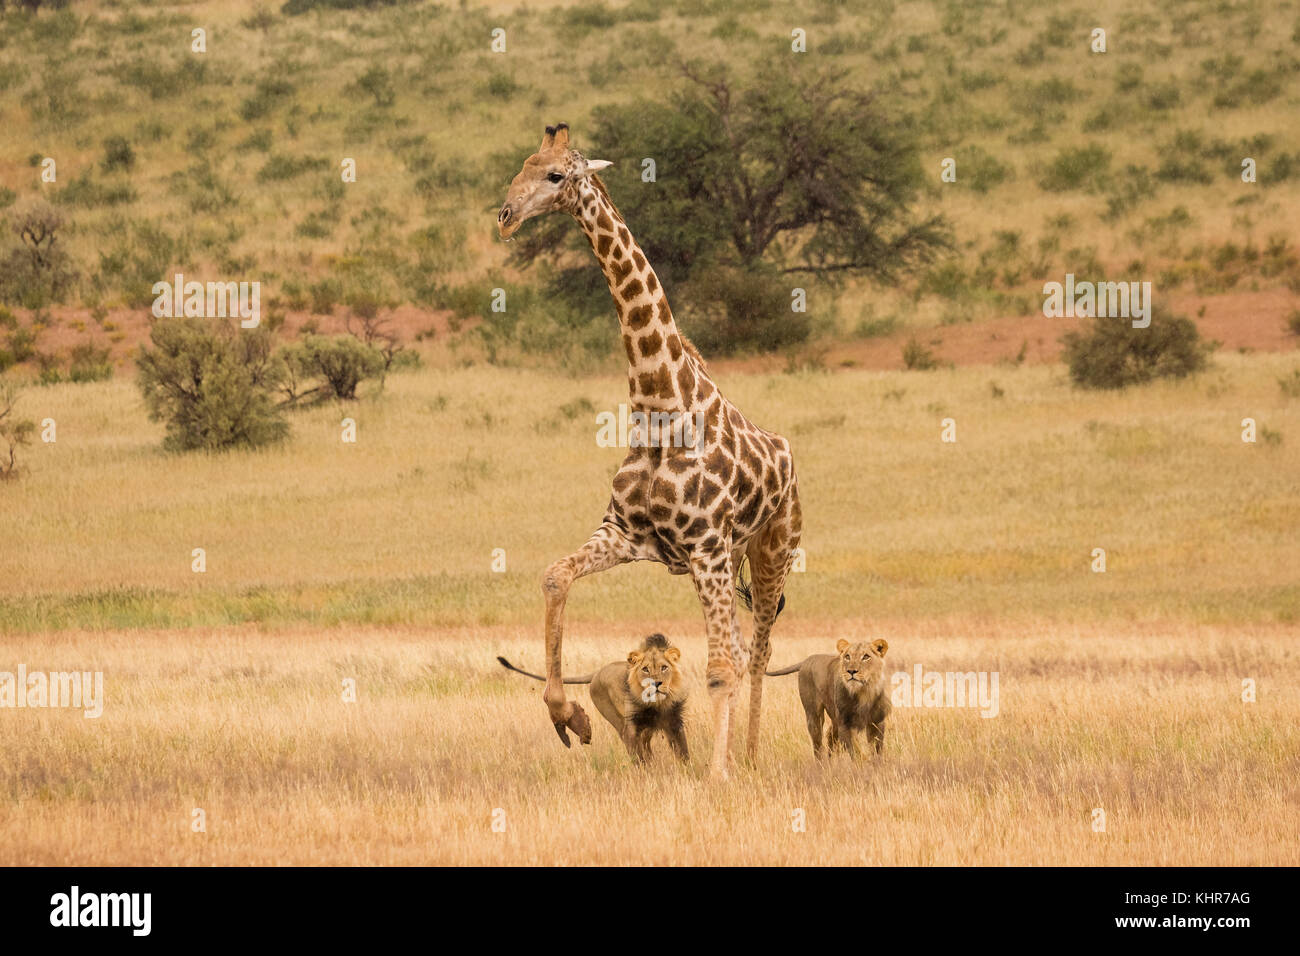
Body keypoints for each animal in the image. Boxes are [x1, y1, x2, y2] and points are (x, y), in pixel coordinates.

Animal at [498, 634, 689, 764]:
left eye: (664, 668)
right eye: (645, 669)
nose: (656, 683)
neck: (657, 705)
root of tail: (597, 672)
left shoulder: (673, 722)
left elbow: (683, 751)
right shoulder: (633, 726)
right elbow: (637, 753)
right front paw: (645, 771)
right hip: (616, 718)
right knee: (631, 740)